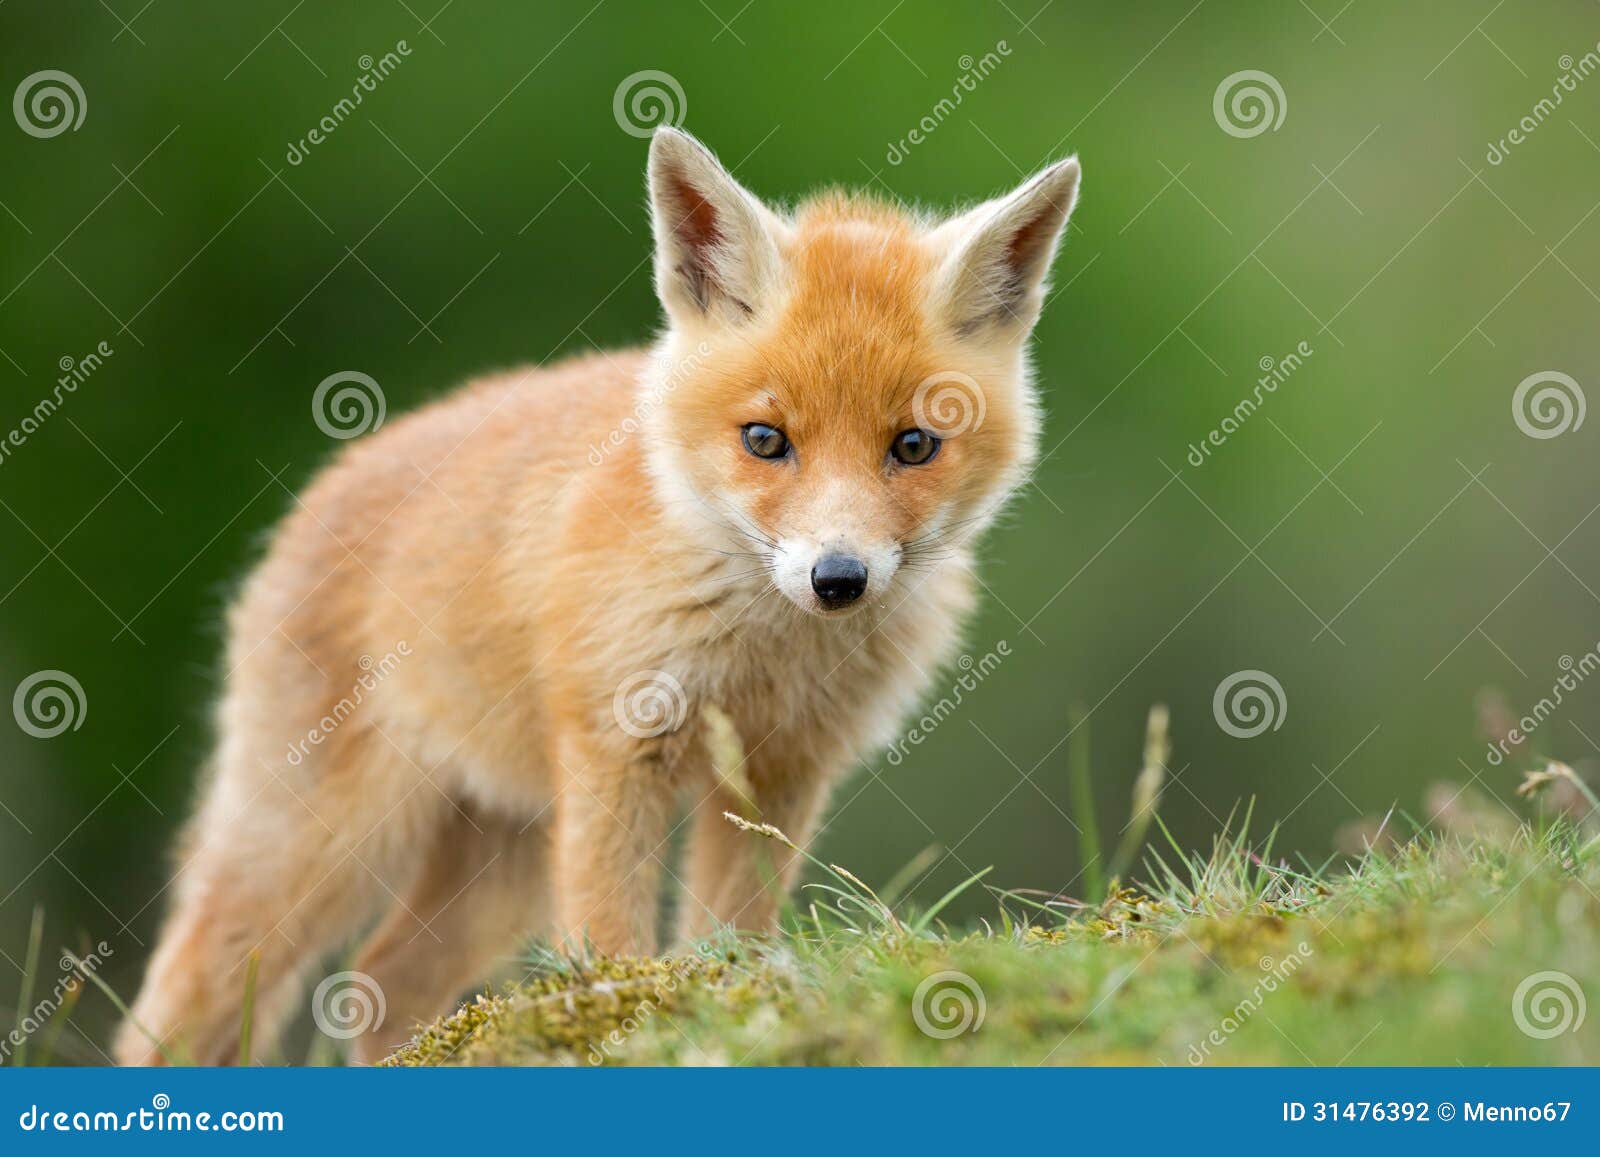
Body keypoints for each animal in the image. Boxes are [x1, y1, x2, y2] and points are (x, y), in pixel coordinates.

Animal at [115, 126, 1080, 1065]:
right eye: (765, 439)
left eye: (913, 445)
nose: (837, 578)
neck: (762, 646)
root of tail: (321, 487)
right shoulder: (620, 746)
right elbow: (614, 943)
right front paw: (625, 1027)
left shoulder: (782, 767)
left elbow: (727, 933)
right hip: (324, 843)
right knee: (173, 1013)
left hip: (500, 859)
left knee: (380, 984)